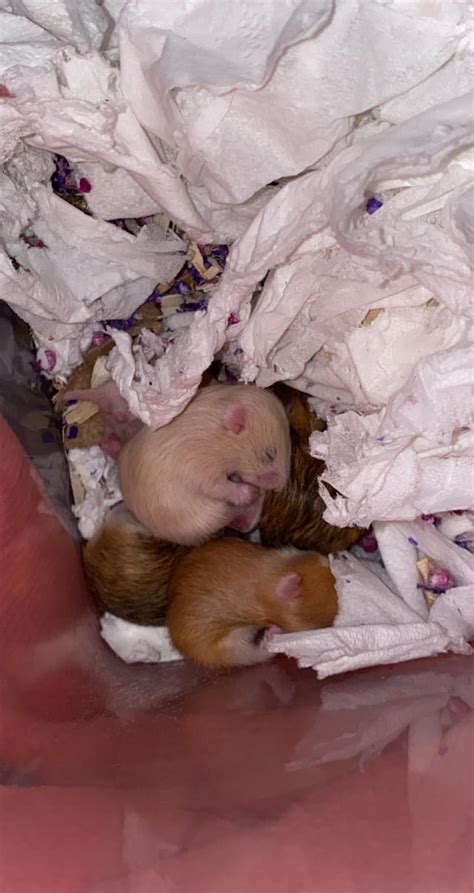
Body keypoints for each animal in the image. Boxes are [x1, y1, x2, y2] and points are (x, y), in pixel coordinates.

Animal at [118, 384, 291, 546]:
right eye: (269, 455)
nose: (280, 487)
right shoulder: (202, 470)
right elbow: (220, 487)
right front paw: (250, 492)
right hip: (206, 515)